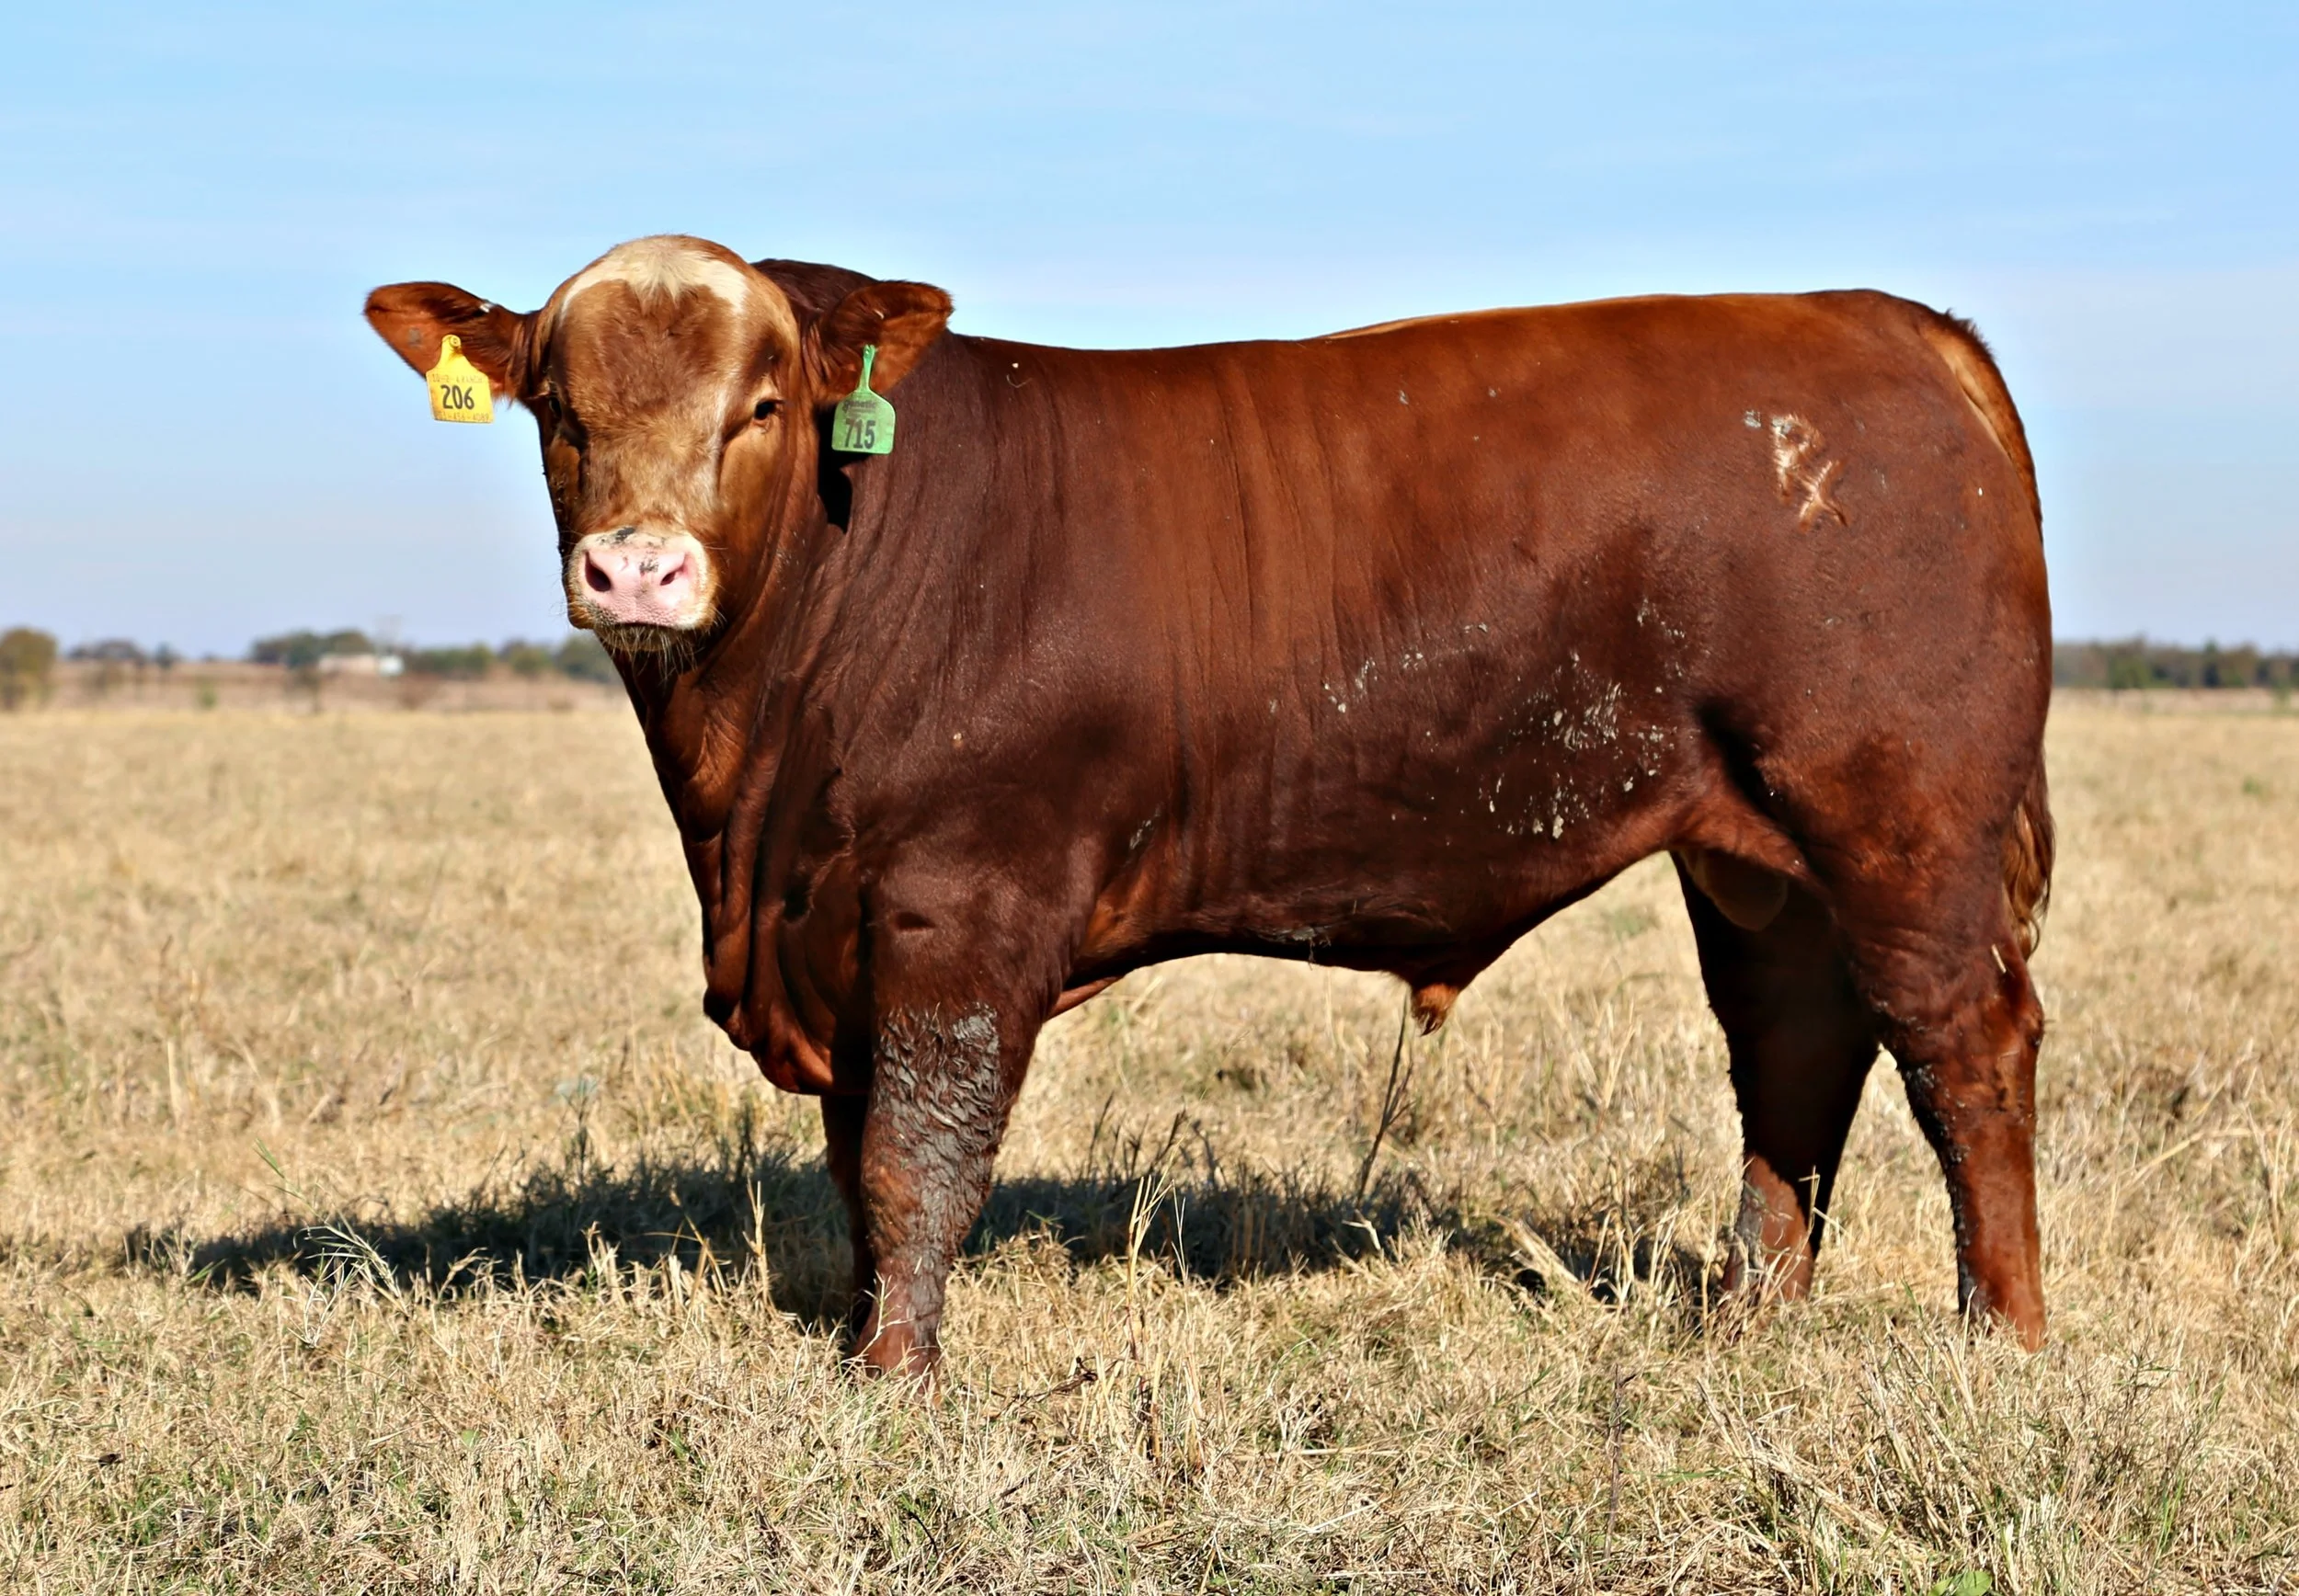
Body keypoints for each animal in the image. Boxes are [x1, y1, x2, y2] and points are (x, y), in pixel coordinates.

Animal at [365, 235, 2054, 1377]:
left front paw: (892, 1375)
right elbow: (860, 1158)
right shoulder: (844, 922)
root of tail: (1893, 323)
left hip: (1899, 812)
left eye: (765, 402)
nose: (635, 569)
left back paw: (2006, 1335)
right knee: (1796, 1049)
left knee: (1964, 1048)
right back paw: (1752, 1313)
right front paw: (865, 1342)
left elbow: (917, 1151)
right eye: (554, 410)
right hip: (1752, 851)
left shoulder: (957, 900)